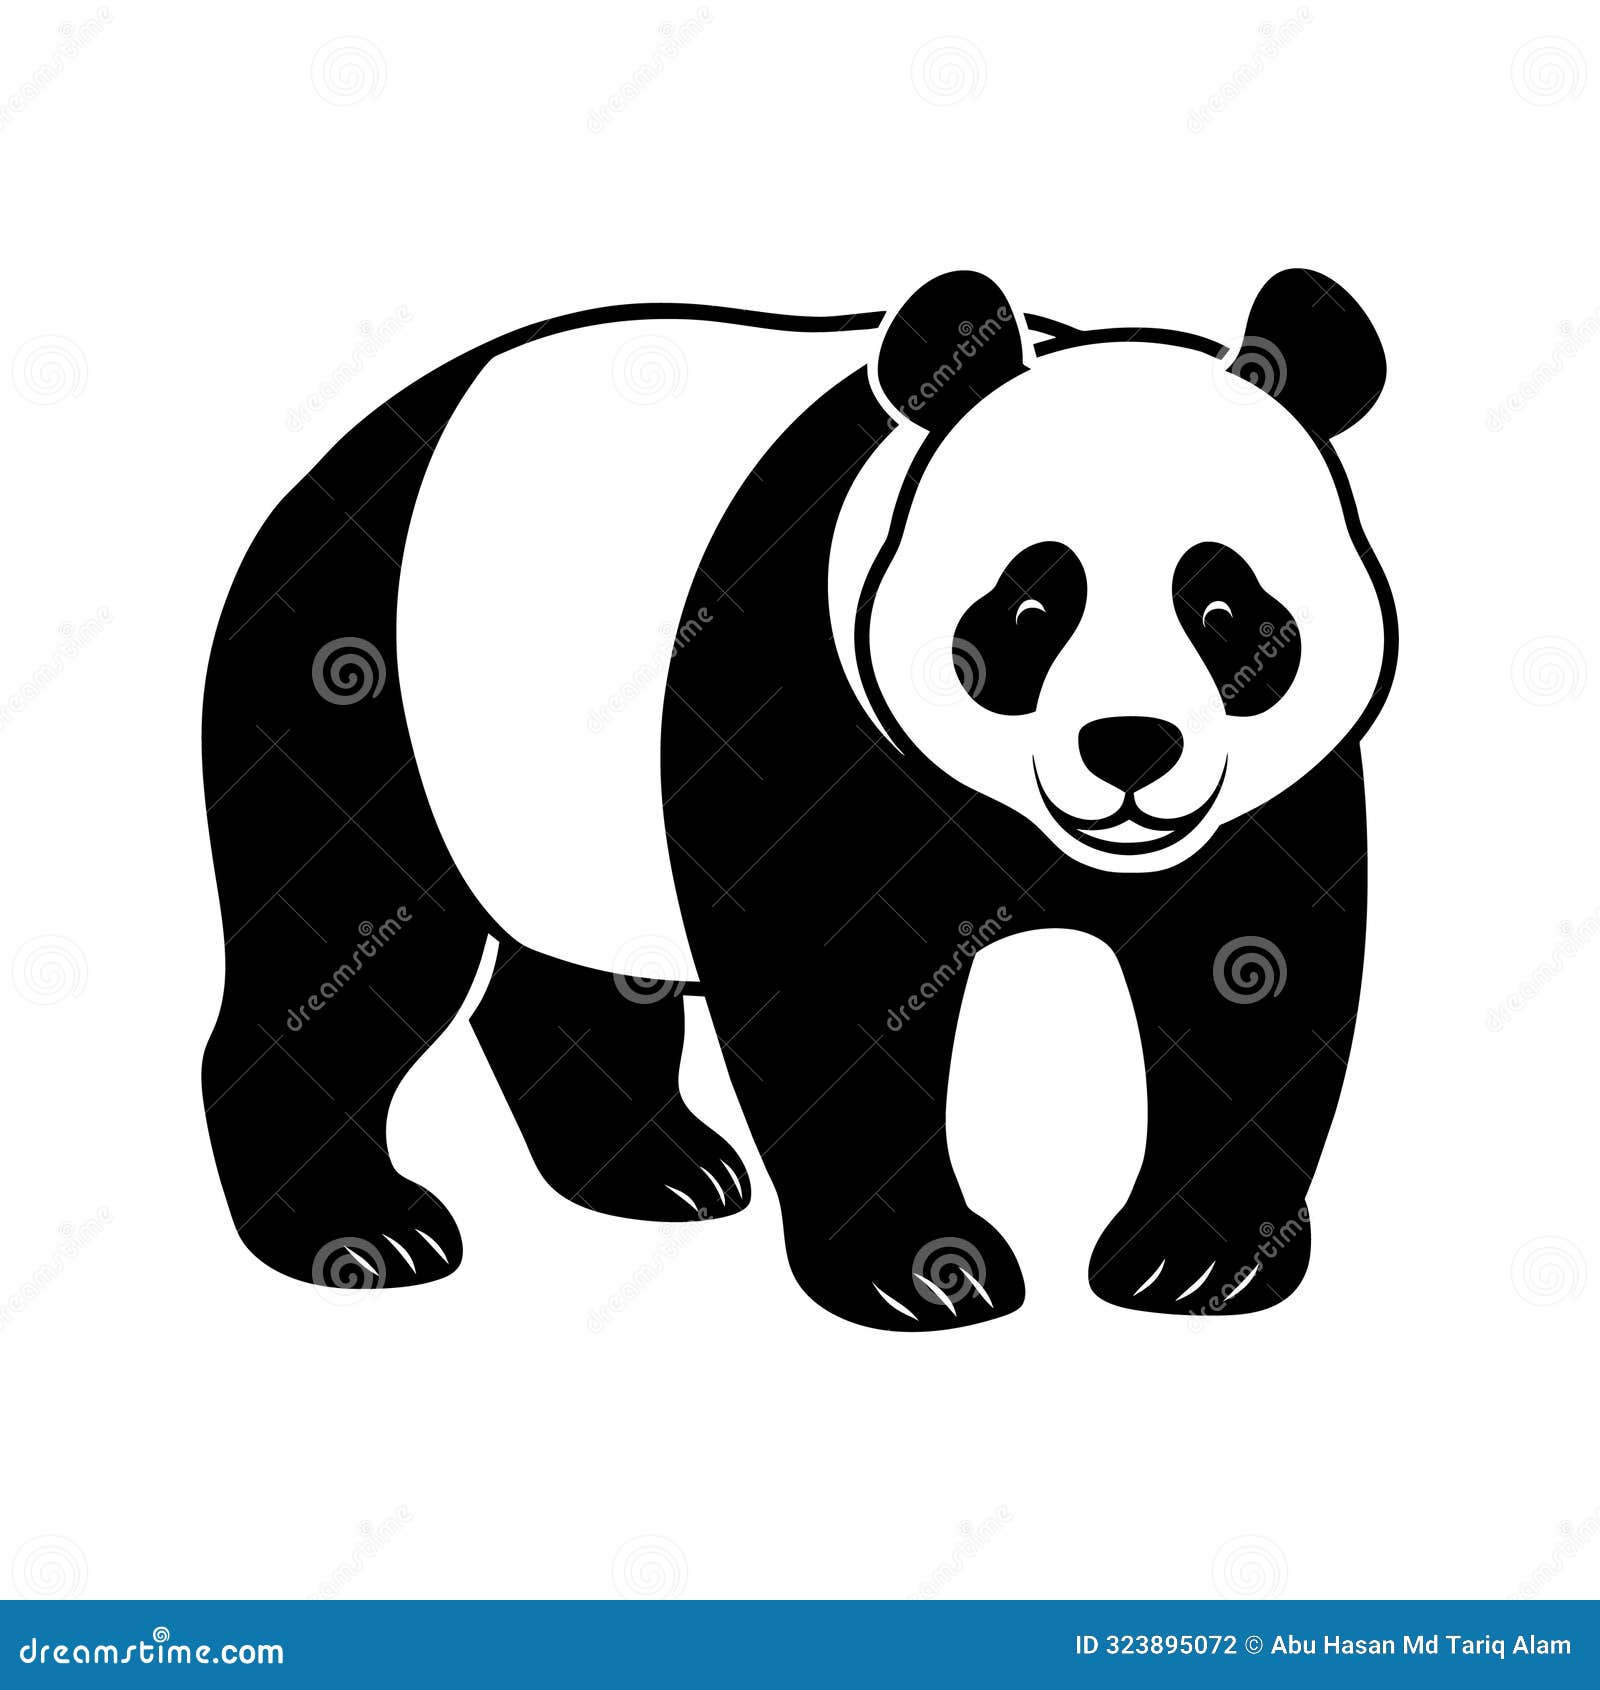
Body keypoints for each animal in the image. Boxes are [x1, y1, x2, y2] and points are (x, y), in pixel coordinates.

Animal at [201, 269, 1394, 1330]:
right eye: (1031, 606)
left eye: (1223, 606)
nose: (1130, 746)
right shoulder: (802, 694)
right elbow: (831, 990)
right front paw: (929, 1274)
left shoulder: (1273, 796)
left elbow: (1252, 971)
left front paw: (1193, 1265)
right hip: (353, 686)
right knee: (350, 938)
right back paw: (361, 1232)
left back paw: (656, 1170)